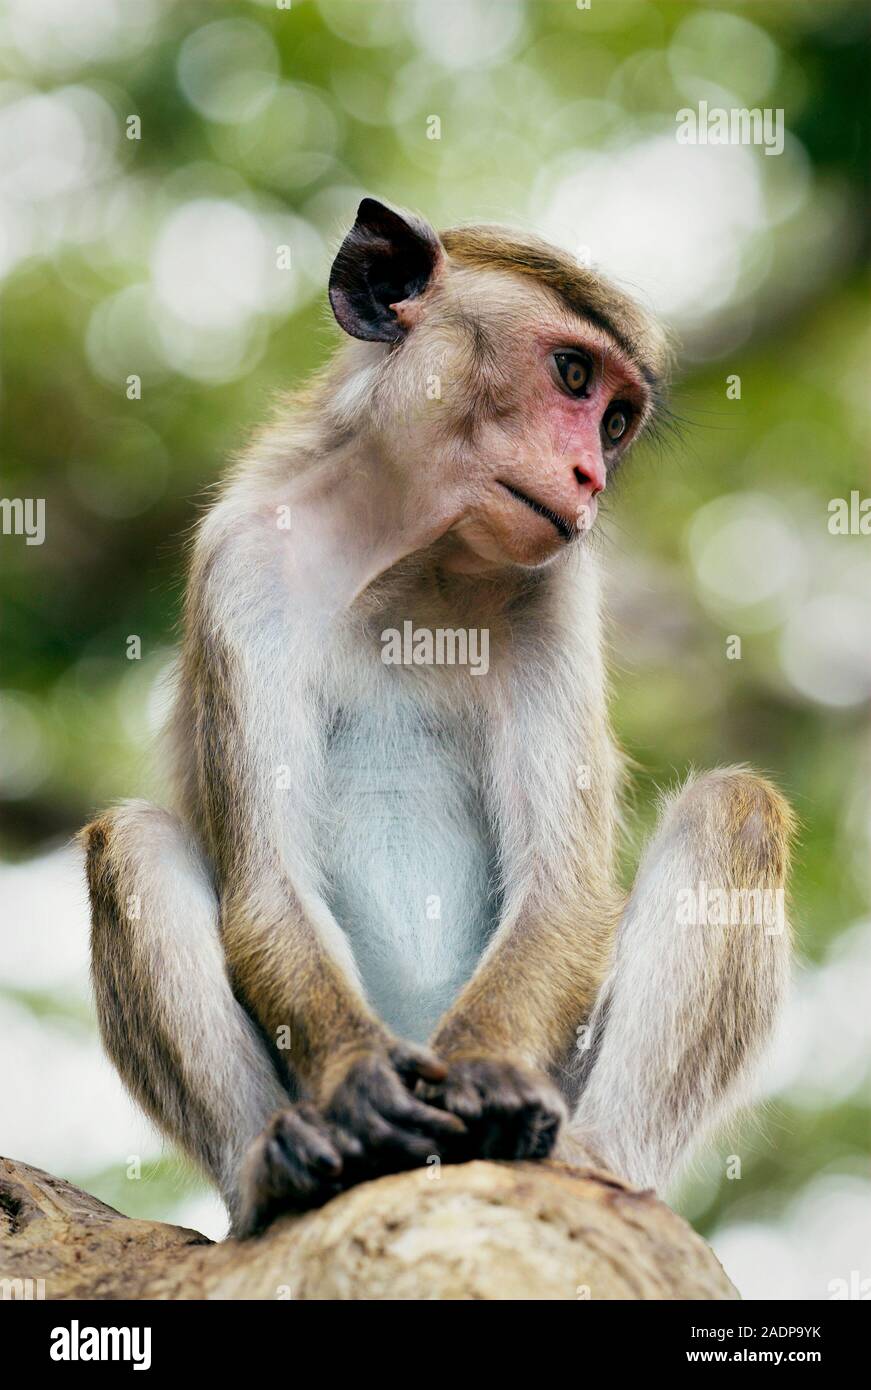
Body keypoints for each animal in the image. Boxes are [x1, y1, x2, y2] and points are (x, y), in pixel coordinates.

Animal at [82, 198, 794, 1238]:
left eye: (616, 422)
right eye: (572, 375)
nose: (588, 474)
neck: (412, 561)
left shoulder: (557, 590)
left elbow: (560, 889)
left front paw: (486, 1070)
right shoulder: (242, 562)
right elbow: (267, 889)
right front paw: (356, 1082)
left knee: (734, 811)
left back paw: (588, 1158)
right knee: (127, 841)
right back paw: (280, 1169)